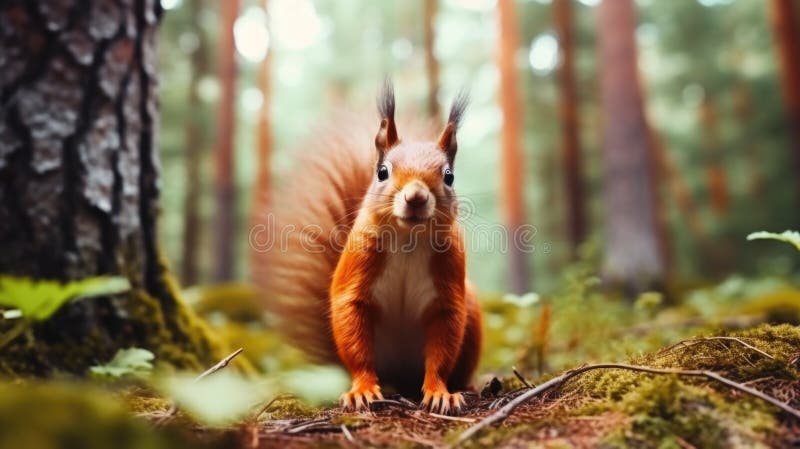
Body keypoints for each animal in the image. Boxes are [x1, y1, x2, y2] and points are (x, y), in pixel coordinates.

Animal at [254, 80, 482, 415]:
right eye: (382, 172)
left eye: (449, 176)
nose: (415, 197)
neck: (407, 238)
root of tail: (401, 378)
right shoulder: (358, 265)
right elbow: (353, 324)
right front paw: (362, 390)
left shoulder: (449, 281)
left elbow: (442, 349)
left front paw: (440, 392)